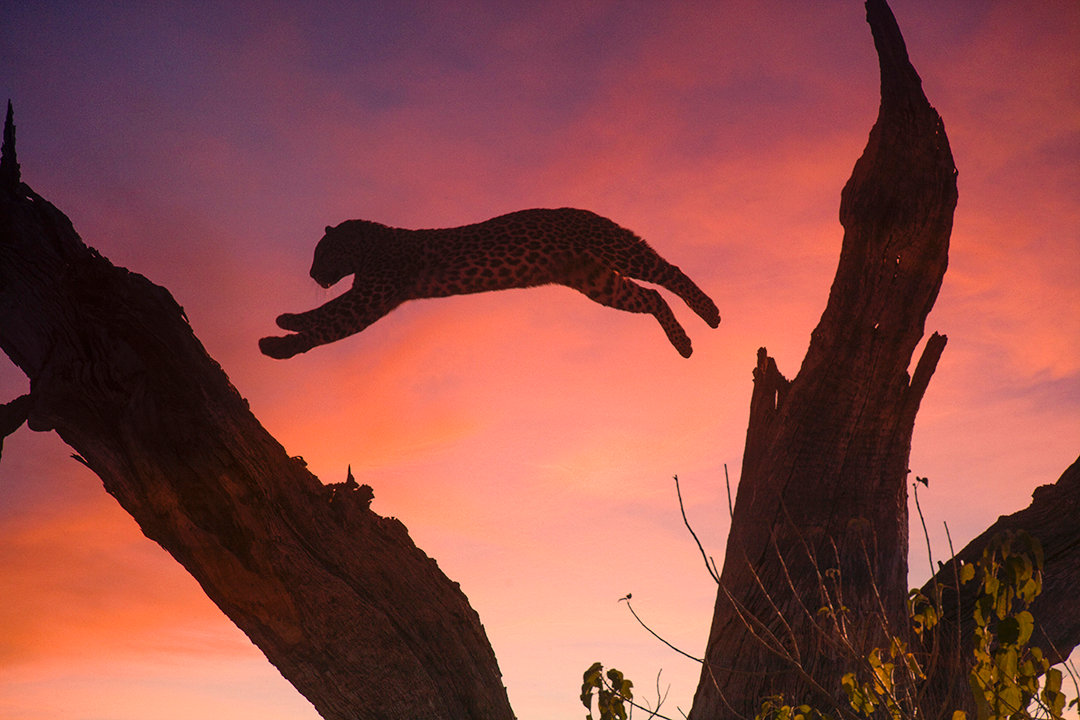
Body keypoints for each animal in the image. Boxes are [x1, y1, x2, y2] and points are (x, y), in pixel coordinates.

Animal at [259, 208, 720, 359]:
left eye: (321, 252)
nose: (312, 274)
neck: (370, 245)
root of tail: (585, 210)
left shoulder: (371, 295)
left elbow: (328, 319)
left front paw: (278, 341)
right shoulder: (370, 295)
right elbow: (324, 316)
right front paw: (286, 324)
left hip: (614, 248)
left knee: (669, 272)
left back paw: (710, 312)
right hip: (597, 282)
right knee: (652, 296)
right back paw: (683, 343)